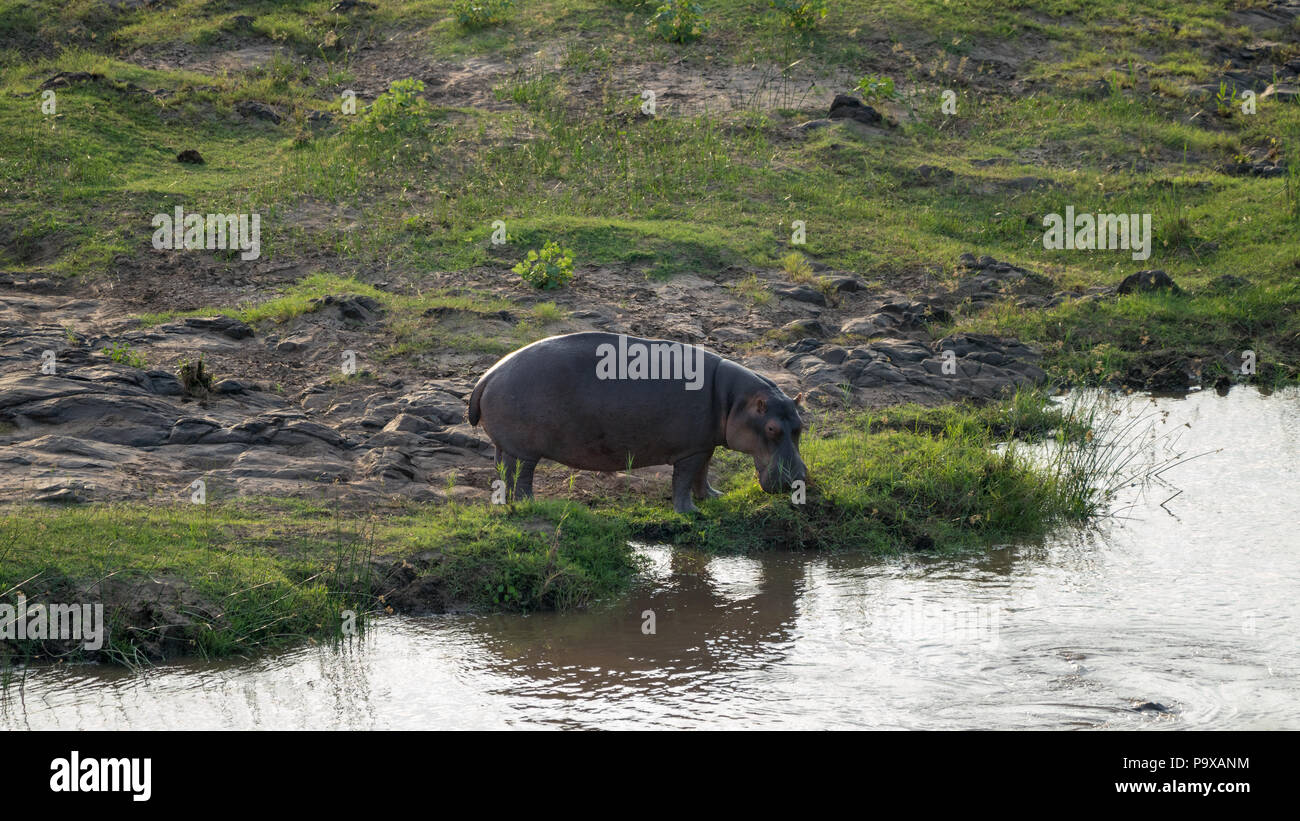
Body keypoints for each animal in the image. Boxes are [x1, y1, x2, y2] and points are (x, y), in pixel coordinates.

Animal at [467, 332, 806, 513]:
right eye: (772, 428)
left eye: (801, 426)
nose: (799, 480)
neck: (735, 400)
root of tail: (488, 375)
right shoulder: (690, 450)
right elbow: (683, 480)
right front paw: (690, 512)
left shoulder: (705, 445)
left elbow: (703, 474)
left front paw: (713, 497)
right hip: (525, 449)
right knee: (522, 476)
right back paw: (529, 505)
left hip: (506, 445)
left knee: (502, 470)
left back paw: (503, 503)